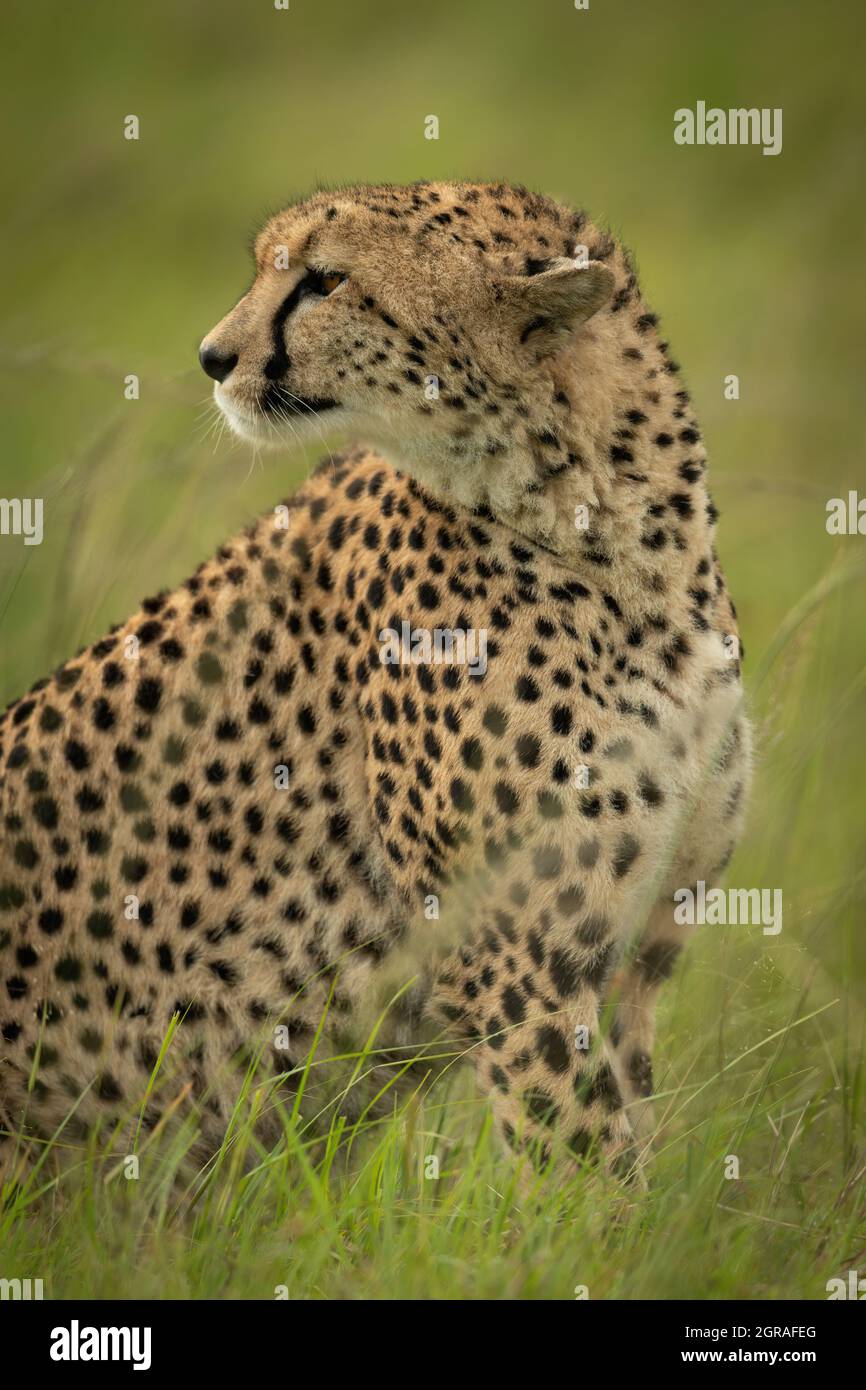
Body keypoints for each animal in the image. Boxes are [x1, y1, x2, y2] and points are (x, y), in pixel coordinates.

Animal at [0, 180, 751, 1181]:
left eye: (324, 281)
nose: (211, 357)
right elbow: (580, 1171)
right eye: (273, 269)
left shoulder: (633, 959)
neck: (620, 535)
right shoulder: (516, 963)